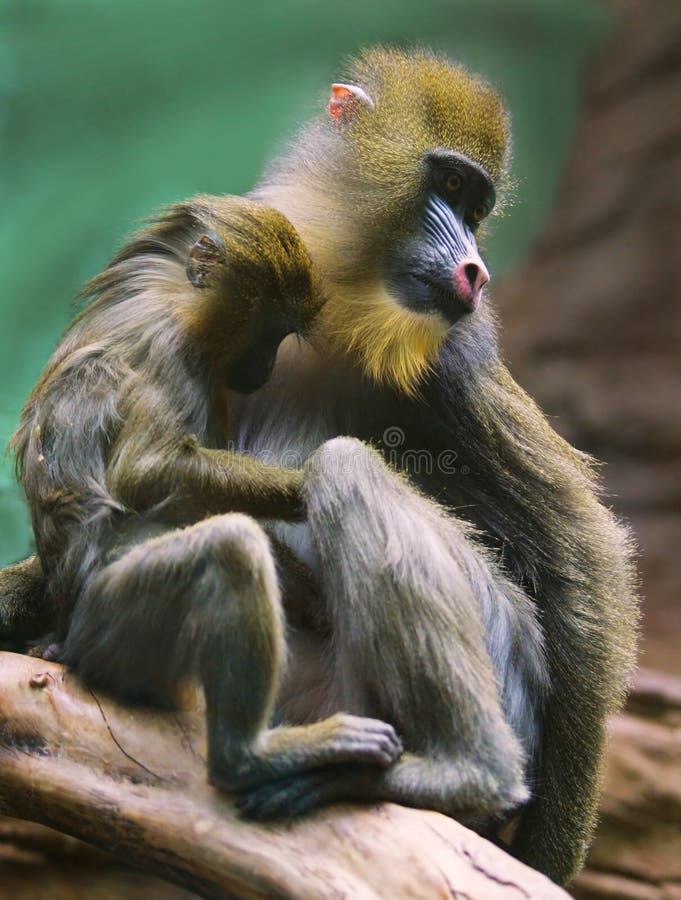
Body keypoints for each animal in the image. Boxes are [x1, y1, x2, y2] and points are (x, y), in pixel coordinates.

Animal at [0, 47, 638, 887]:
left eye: (475, 207)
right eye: (448, 186)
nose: (474, 269)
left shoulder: (458, 351)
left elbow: (574, 551)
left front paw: (546, 859)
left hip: (493, 668)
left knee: (346, 472)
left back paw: (466, 774)